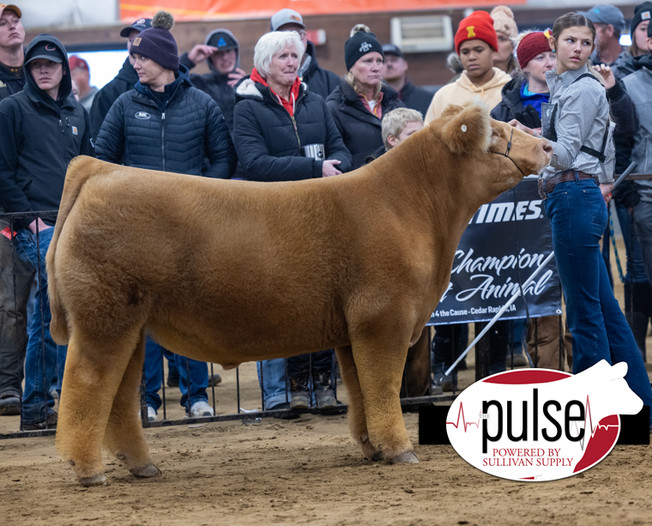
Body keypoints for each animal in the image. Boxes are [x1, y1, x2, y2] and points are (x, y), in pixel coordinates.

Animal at [46, 103, 552, 486]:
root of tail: (100, 171)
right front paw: (400, 450)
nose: (547, 144)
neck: (412, 207)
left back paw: (143, 466)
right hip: (104, 320)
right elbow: (383, 387)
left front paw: (372, 448)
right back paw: (88, 471)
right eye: (497, 133)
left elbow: (361, 393)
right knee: (86, 388)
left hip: (130, 326)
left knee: (118, 397)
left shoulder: (352, 331)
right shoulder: (383, 319)